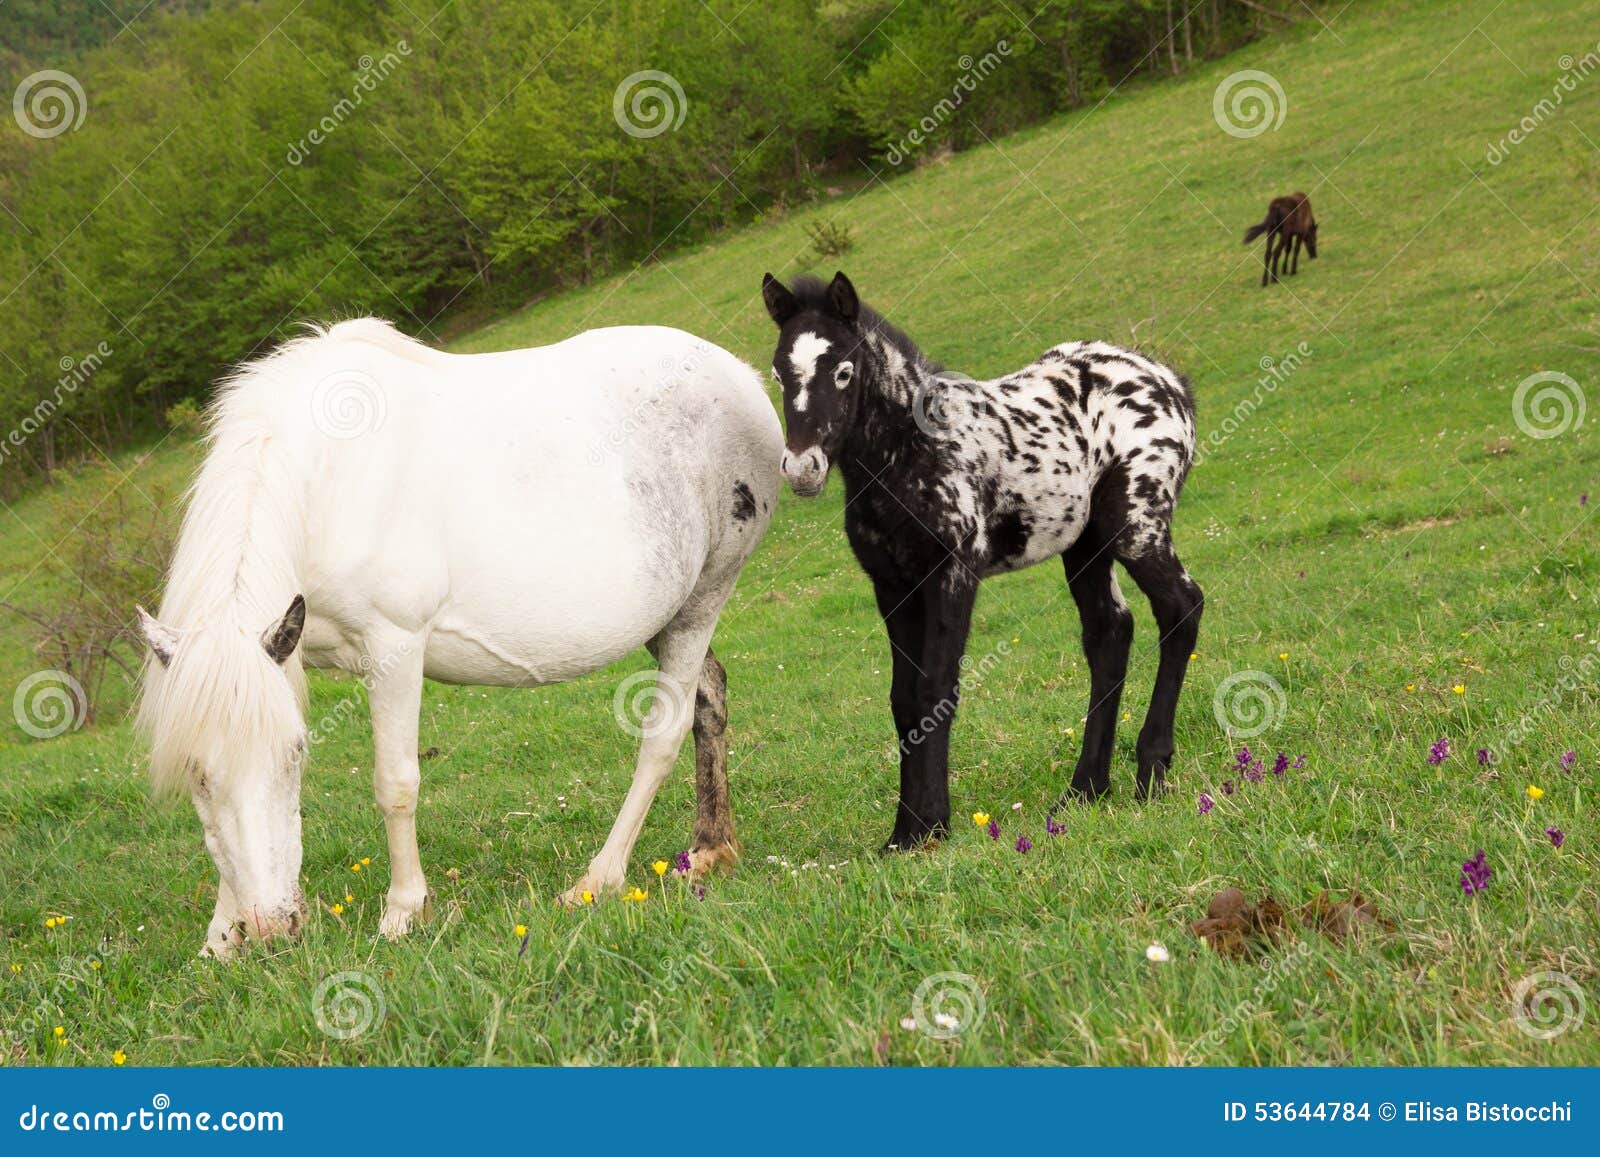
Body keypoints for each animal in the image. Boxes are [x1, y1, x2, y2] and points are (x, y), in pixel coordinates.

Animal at [136, 318, 781, 957]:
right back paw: (709, 850)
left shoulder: (393, 647)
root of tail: (739, 376)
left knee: (665, 733)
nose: (271, 927)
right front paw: (222, 935)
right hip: (666, 616)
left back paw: (597, 880)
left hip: (702, 601)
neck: (328, 481)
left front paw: (403, 911)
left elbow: (396, 783)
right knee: (710, 698)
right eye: (195, 773)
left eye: (295, 753)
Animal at [761, 272, 1202, 852]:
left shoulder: (953, 573)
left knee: (1182, 607)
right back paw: (1085, 790)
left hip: (1137, 528)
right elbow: (903, 700)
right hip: (1085, 547)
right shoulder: (893, 586)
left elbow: (935, 689)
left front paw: (932, 825)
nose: (801, 467)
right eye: (778, 372)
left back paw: (1151, 771)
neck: (915, 450)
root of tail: (1168, 381)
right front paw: (903, 833)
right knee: (1110, 635)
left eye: (843, 370)